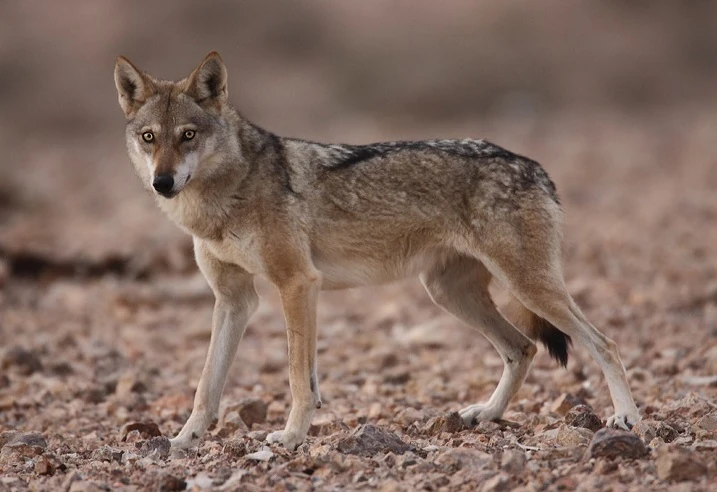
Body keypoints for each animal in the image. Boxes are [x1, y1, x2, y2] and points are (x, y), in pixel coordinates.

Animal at [113, 51, 640, 450]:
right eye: (149, 138)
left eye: (188, 135)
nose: (163, 182)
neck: (223, 198)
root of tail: (535, 167)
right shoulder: (235, 300)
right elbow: (208, 383)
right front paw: (184, 440)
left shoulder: (297, 283)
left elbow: (296, 375)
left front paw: (290, 437)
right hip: (449, 294)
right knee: (523, 348)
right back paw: (487, 414)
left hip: (526, 287)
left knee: (605, 343)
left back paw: (626, 418)